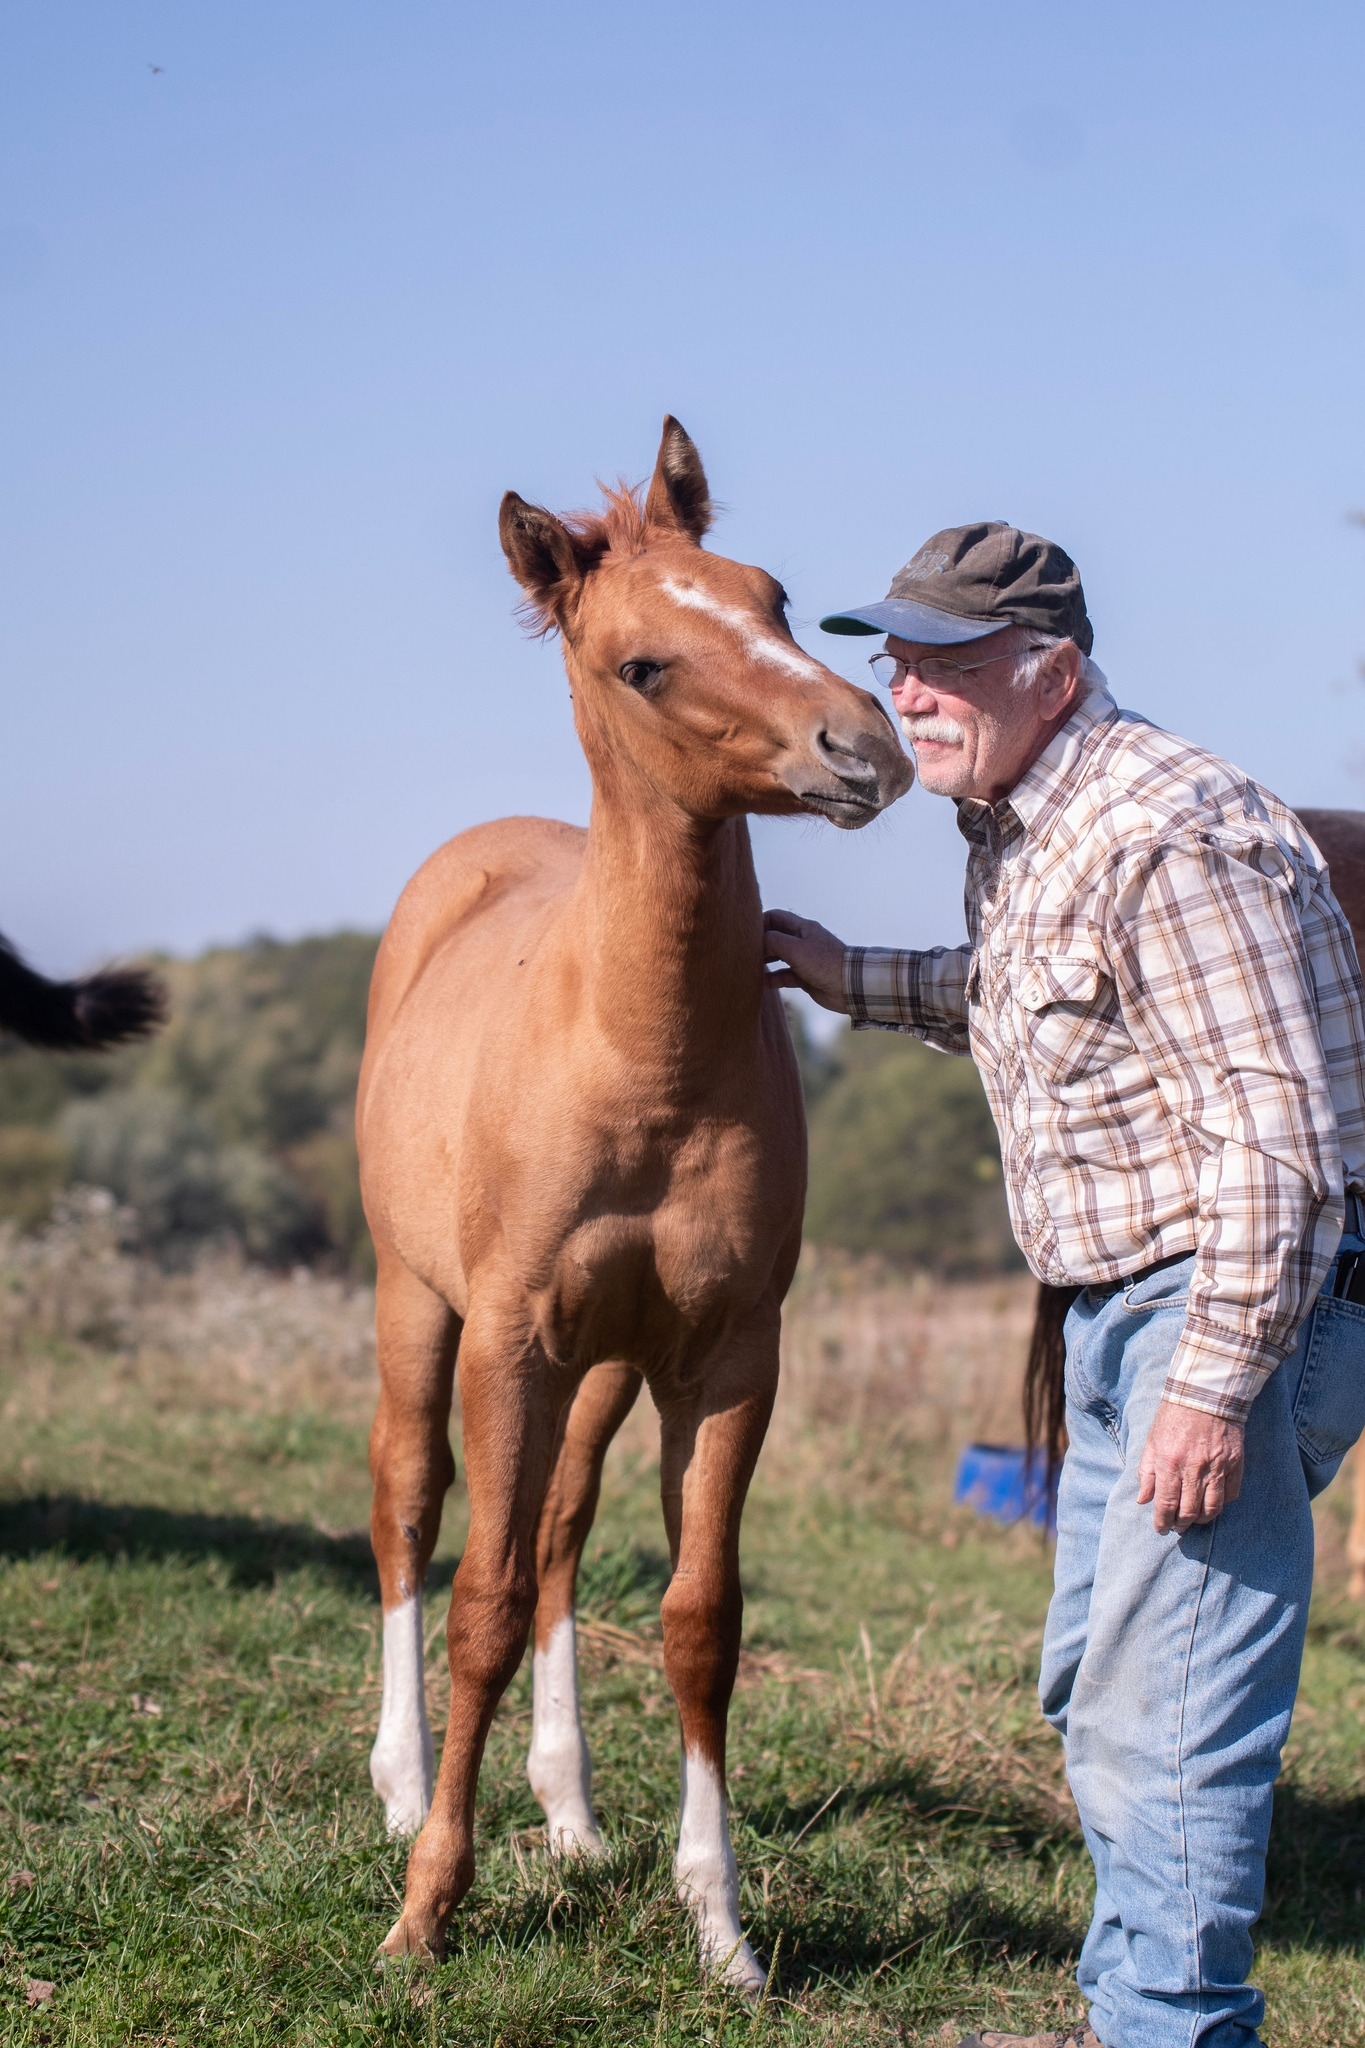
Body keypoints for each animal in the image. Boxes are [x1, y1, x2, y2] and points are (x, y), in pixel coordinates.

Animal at [355, 417, 911, 1987]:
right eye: (642, 663)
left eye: (774, 597)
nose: (865, 745)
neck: (641, 1053)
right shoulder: (507, 1342)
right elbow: (478, 1602)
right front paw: (426, 1909)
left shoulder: (724, 1355)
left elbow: (695, 1618)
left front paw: (719, 1924)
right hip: (417, 1306)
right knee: (411, 1510)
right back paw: (402, 1782)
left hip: (605, 1364)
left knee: (557, 1531)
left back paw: (573, 1812)